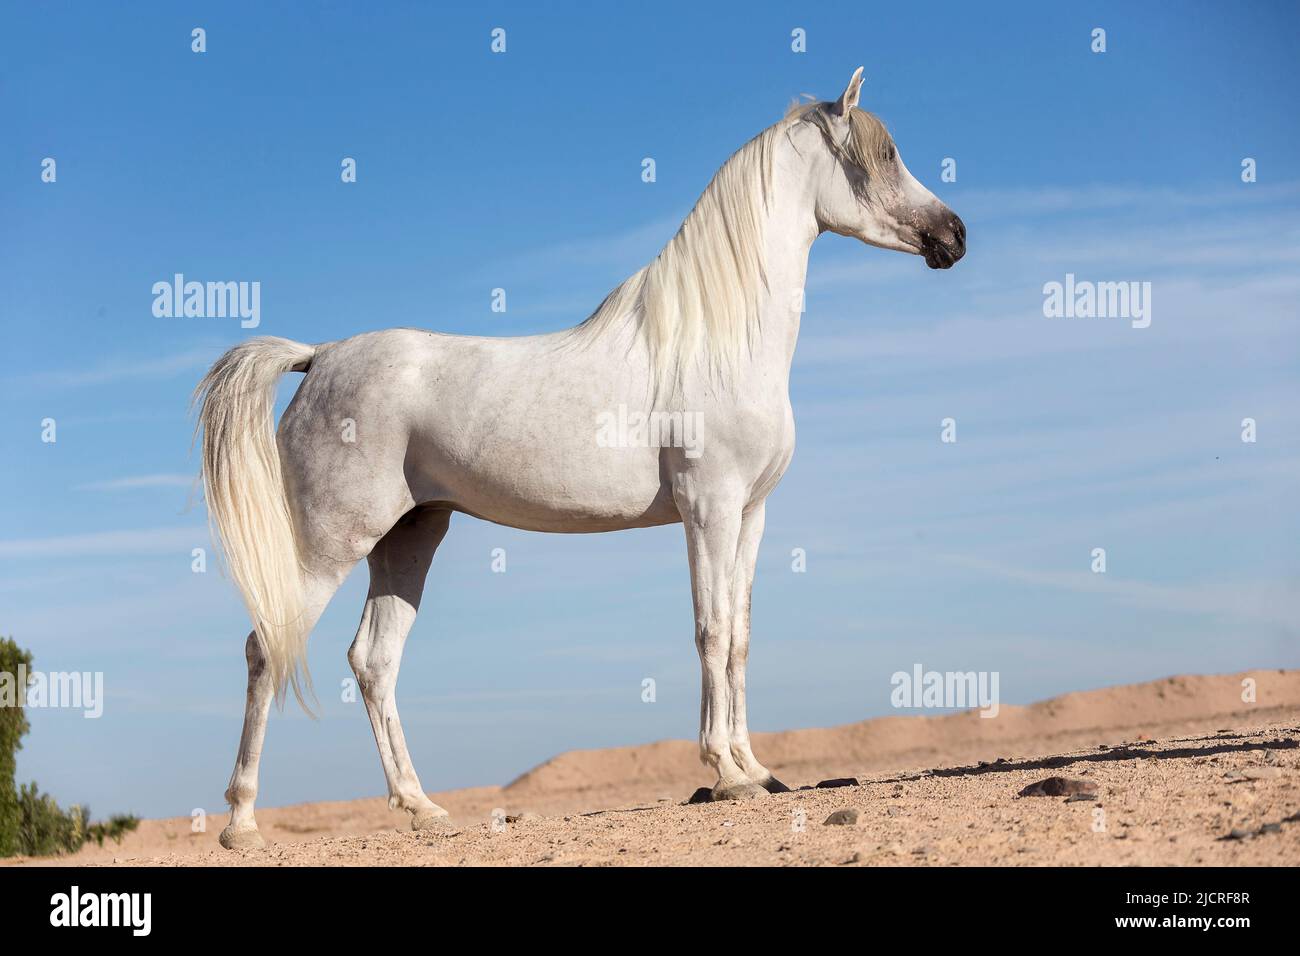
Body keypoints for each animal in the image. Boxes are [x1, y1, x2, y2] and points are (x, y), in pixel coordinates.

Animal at [194, 67, 965, 849]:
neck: (716, 339)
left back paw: (419, 806)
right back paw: (242, 822)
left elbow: (741, 636)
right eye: (887, 153)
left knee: (374, 661)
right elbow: (710, 629)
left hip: (410, 534)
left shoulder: (750, 513)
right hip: (330, 541)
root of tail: (319, 357)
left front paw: (757, 770)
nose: (954, 234)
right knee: (267, 647)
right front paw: (726, 772)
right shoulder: (709, 509)